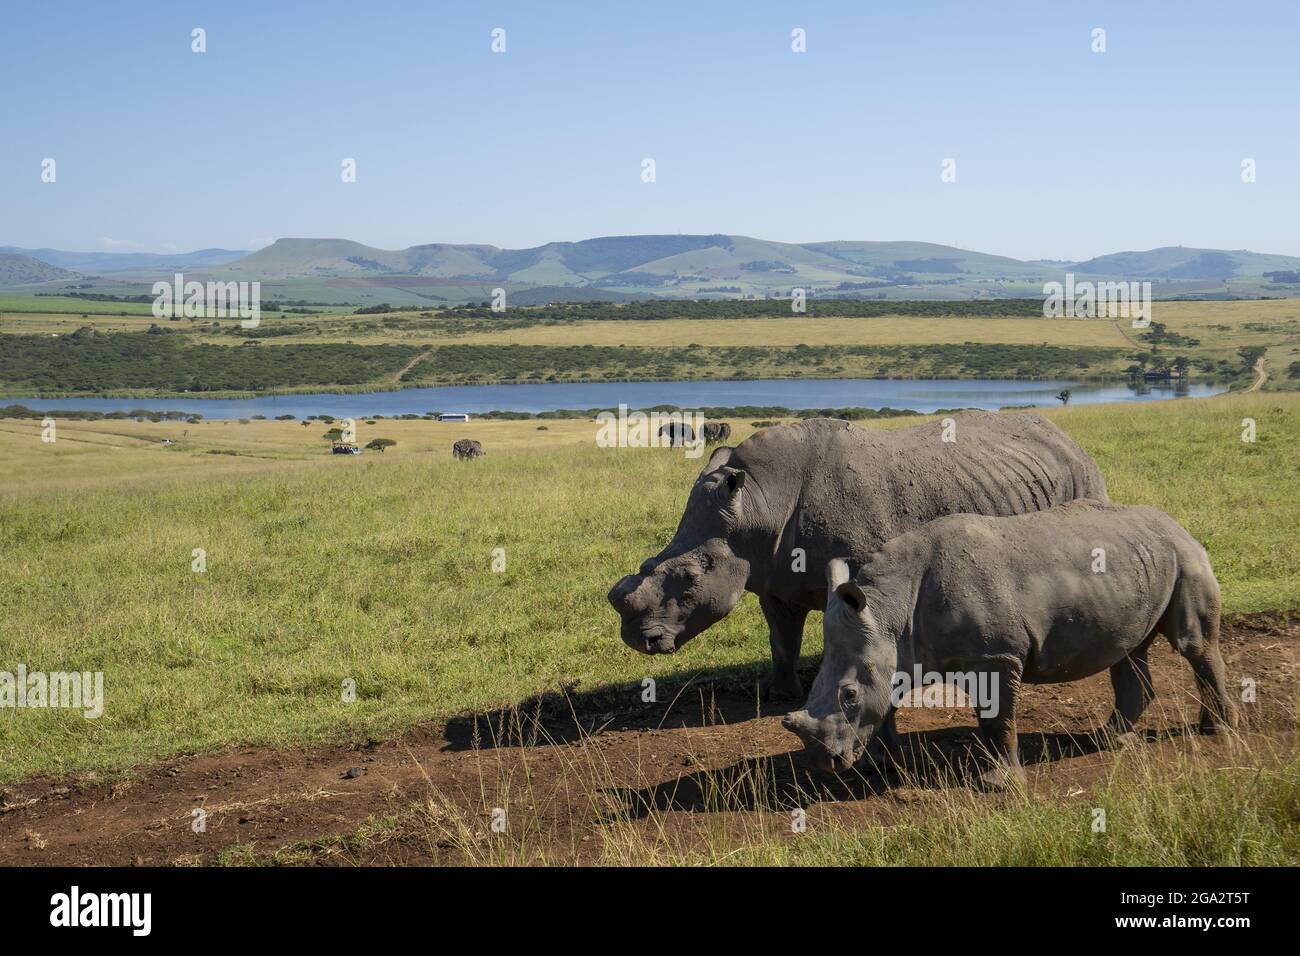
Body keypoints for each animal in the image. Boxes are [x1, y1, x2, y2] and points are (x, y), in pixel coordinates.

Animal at [608, 412, 1109, 699]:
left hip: (1081, 474)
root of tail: (1067, 439)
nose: (636, 640)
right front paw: (777, 693)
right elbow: (781, 638)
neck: (757, 506)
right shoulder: (770, 575)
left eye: (691, 577)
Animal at [782, 500, 1234, 788]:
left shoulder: (996, 655)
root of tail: (1178, 525)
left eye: (849, 695)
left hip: (1185, 559)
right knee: (1129, 649)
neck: (890, 609)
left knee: (1194, 645)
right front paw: (884, 765)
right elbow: (888, 705)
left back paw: (1217, 731)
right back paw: (1110, 741)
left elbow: (996, 718)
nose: (824, 764)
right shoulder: (891, 648)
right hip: (1142, 563)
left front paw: (998, 785)